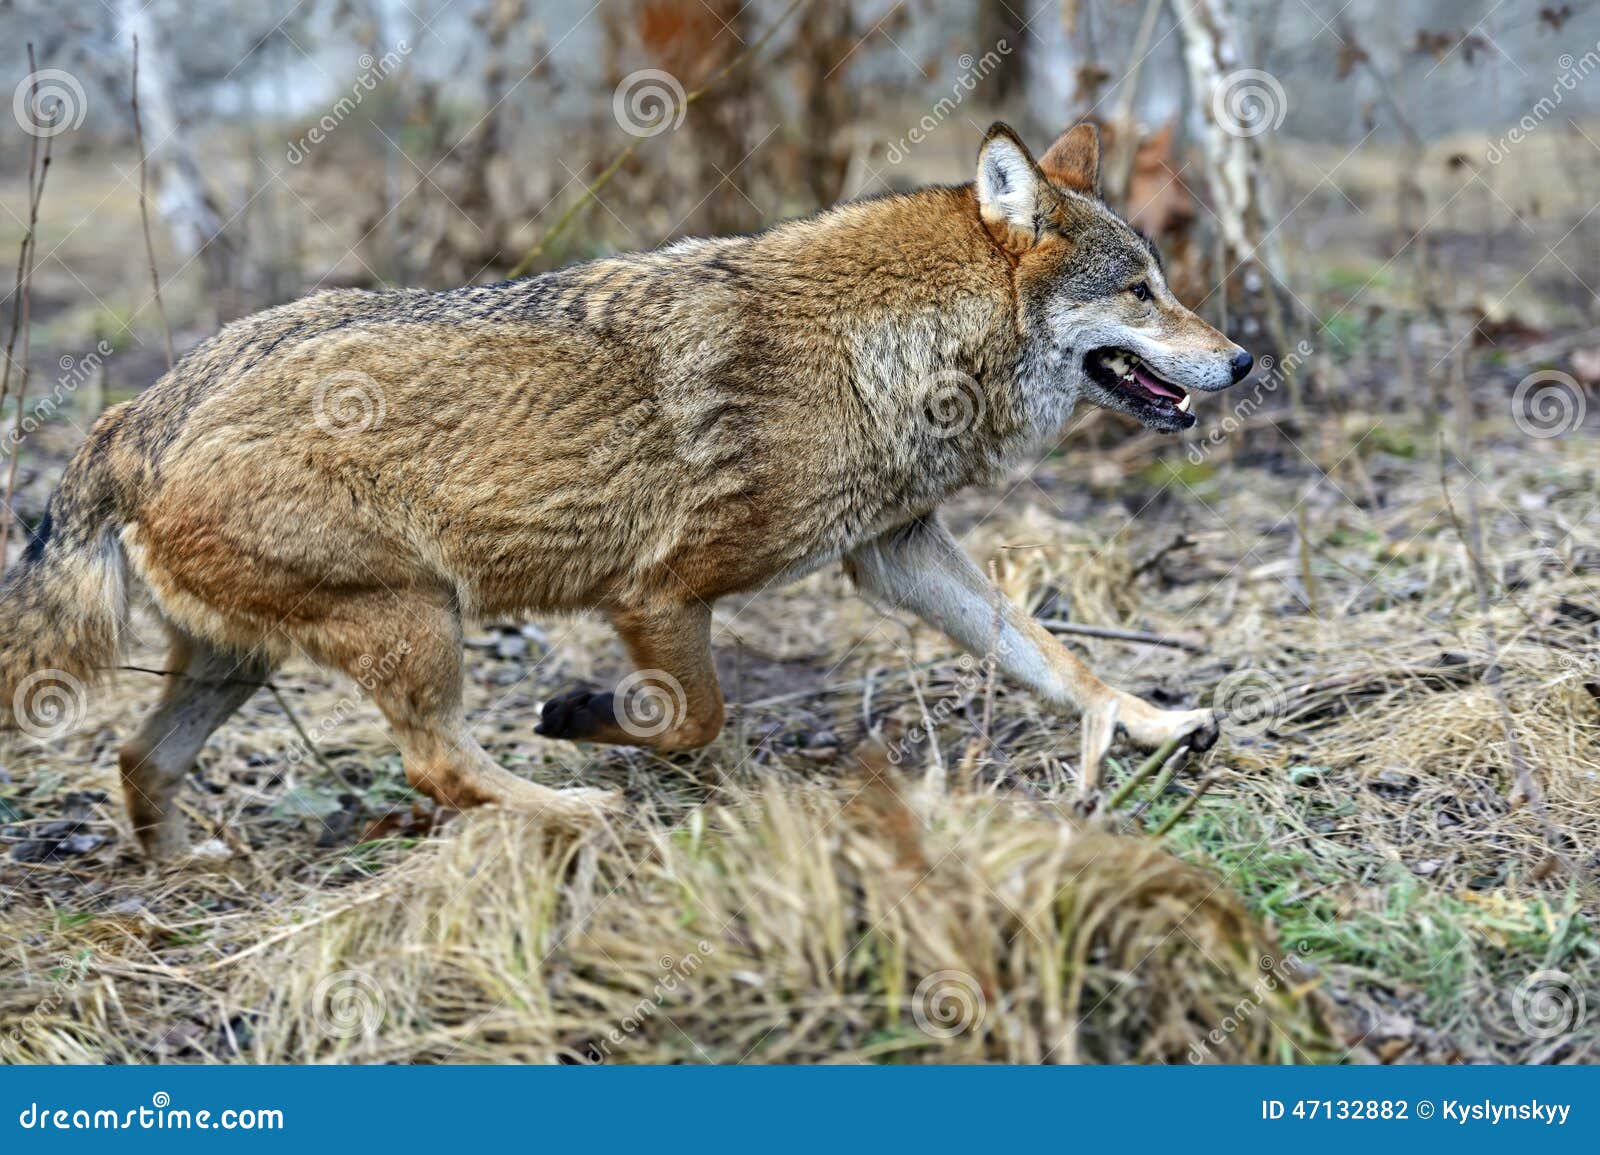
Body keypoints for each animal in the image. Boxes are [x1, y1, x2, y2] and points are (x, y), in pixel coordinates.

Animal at [0, 123, 1250, 857]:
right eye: (1141, 291)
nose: (1241, 362)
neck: (882, 350)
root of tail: (131, 418)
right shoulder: (656, 595)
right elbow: (694, 715)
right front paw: (590, 720)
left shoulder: (896, 552)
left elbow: (1053, 654)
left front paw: (1146, 722)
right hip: (418, 621)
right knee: (434, 764)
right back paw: (575, 809)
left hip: (241, 663)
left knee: (138, 761)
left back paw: (180, 871)